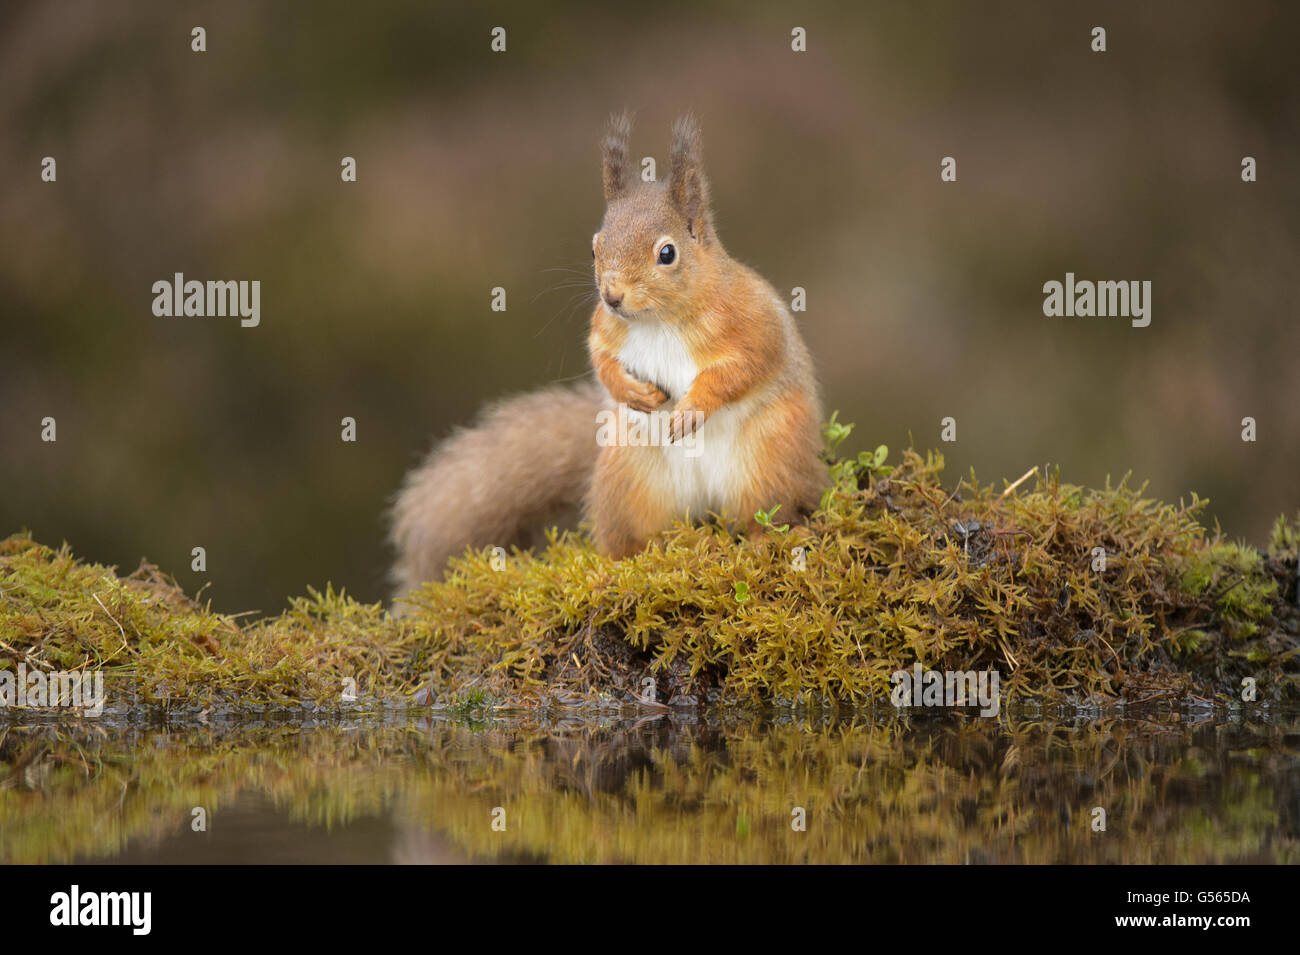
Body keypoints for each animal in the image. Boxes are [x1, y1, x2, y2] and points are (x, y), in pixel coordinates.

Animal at [389, 113, 827, 599]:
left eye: (667, 253)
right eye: (595, 247)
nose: (612, 295)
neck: (660, 319)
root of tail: (706, 505)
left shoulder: (752, 325)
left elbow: (740, 369)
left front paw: (691, 410)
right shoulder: (606, 330)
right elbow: (602, 361)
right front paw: (634, 394)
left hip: (771, 461)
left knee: (768, 514)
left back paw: (769, 538)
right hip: (629, 481)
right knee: (637, 536)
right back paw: (634, 561)